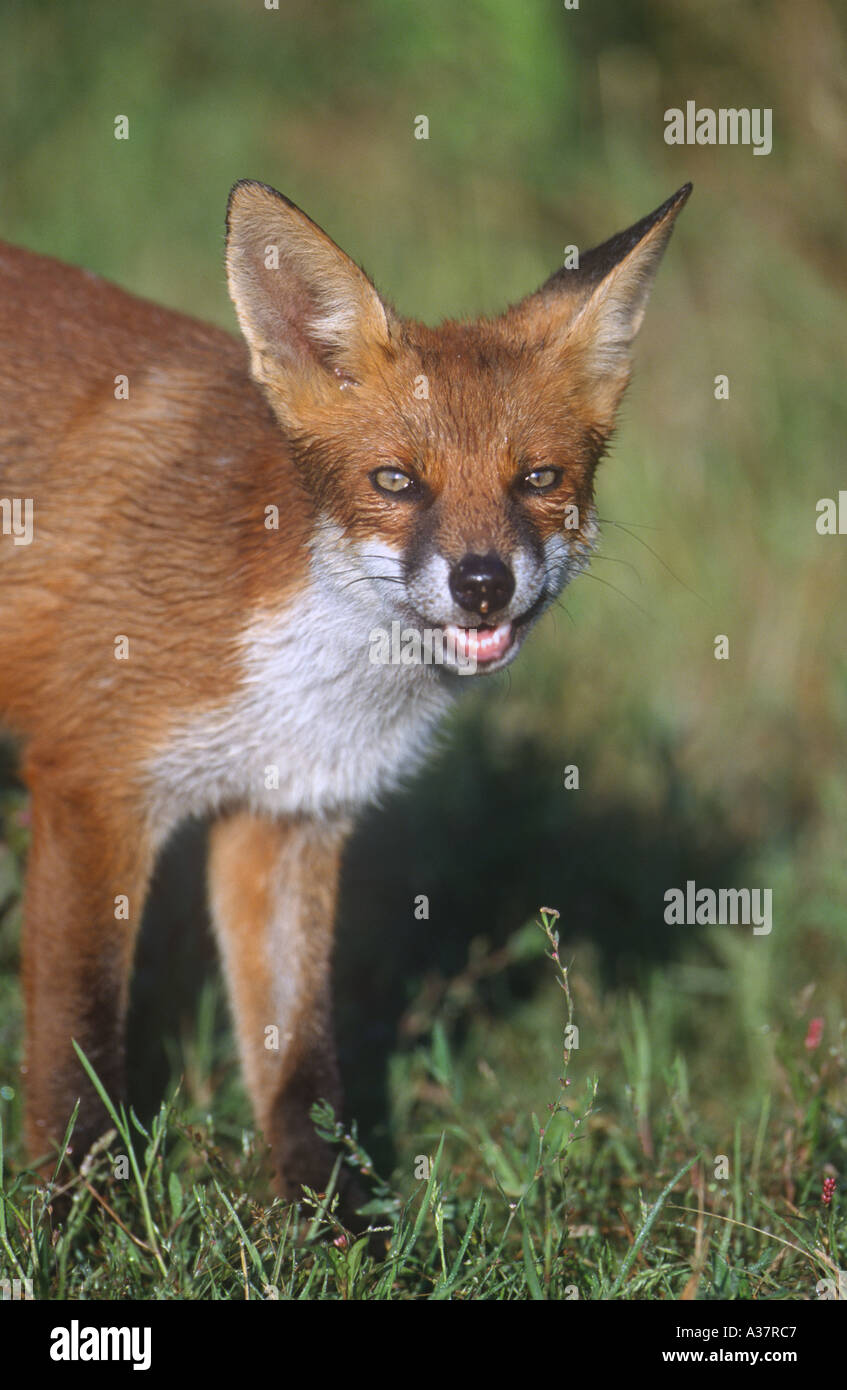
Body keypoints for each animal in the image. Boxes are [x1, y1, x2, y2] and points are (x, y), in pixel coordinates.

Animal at [0, 179, 690, 1214]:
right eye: (396, 481)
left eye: (537, 479)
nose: (482, 584)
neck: (302, 681)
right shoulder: (91, 784)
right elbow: (75, 1050)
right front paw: (78, 1218)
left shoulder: (288, 817)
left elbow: (299, 1067)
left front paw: (335, 1222)